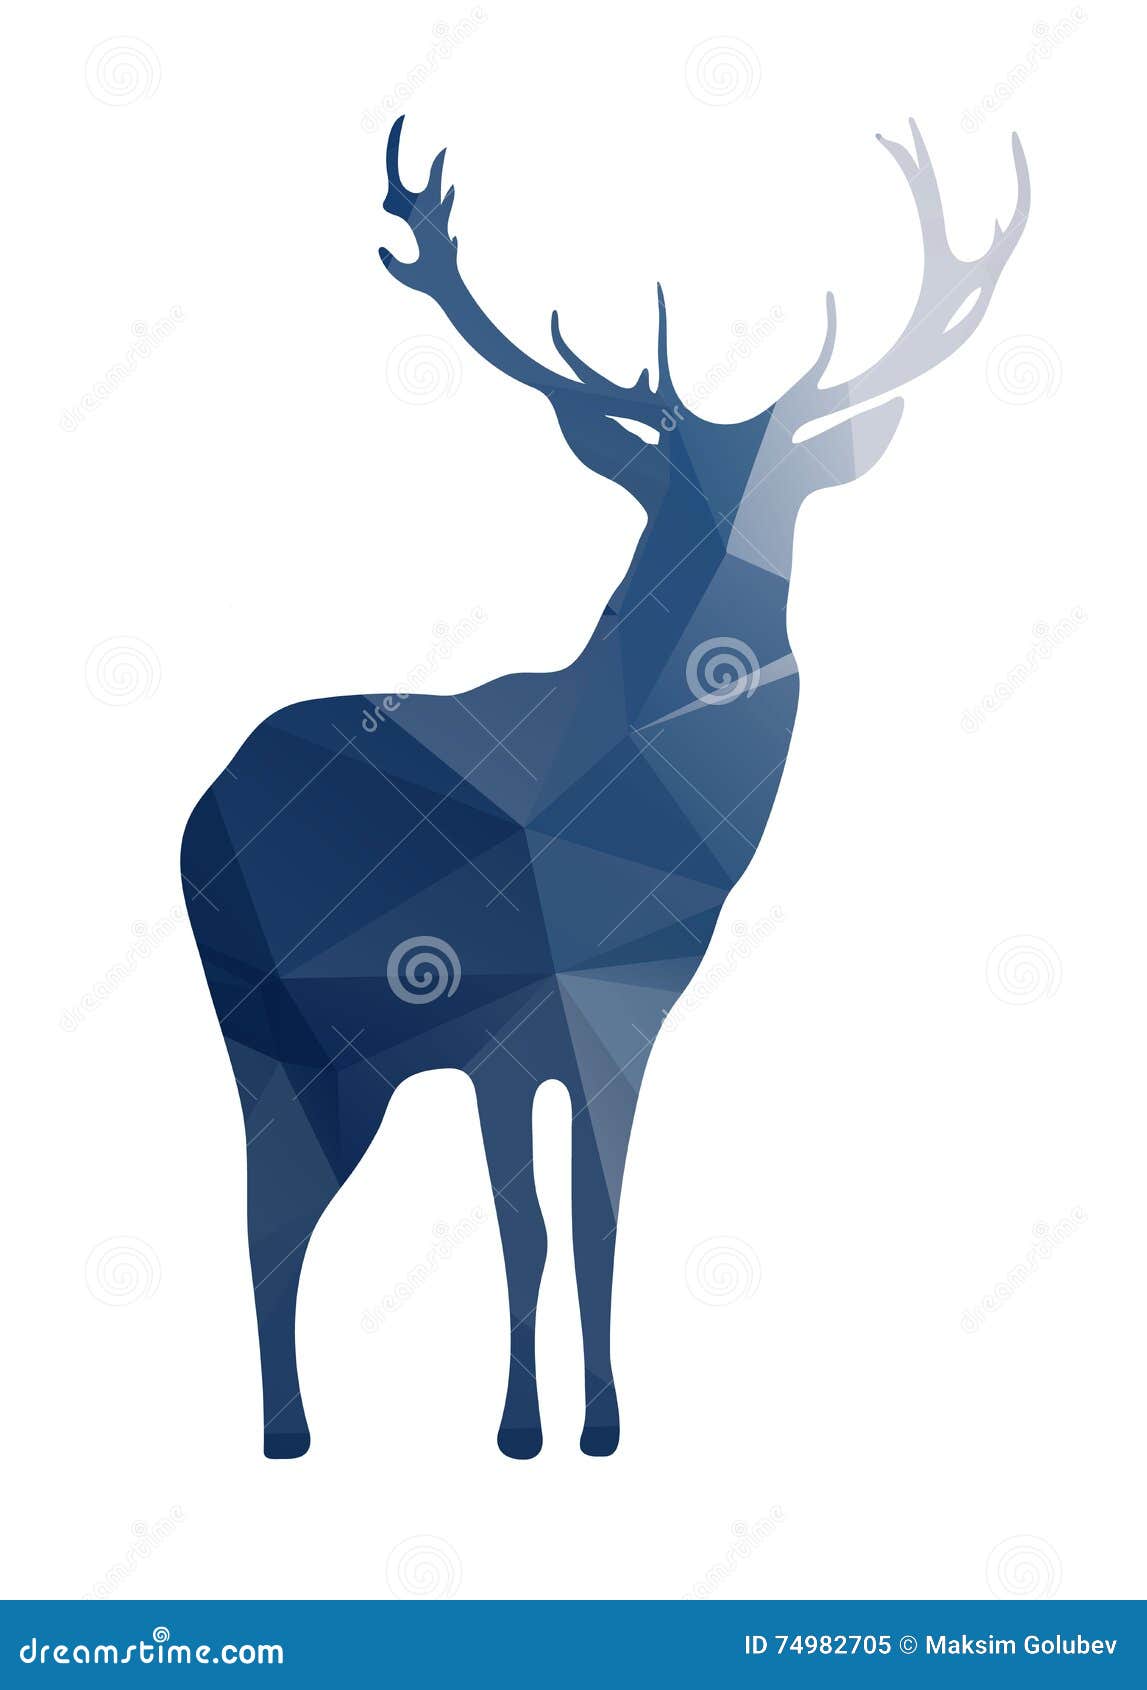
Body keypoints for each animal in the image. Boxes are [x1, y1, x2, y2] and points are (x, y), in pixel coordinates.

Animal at [182, 116, 1029, 1460]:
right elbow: (528, 1226)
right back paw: (286, 1433)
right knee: (269, 1212)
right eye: (661, 489)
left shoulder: (624, 1018)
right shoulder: (493, 1021)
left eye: (786, 488)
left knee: (282, 1210)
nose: (731, 605)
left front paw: (596, 1423)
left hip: (335, 1060)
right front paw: (524, 1430)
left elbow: (597, 1217)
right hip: (278, 1032)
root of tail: (190, 811)